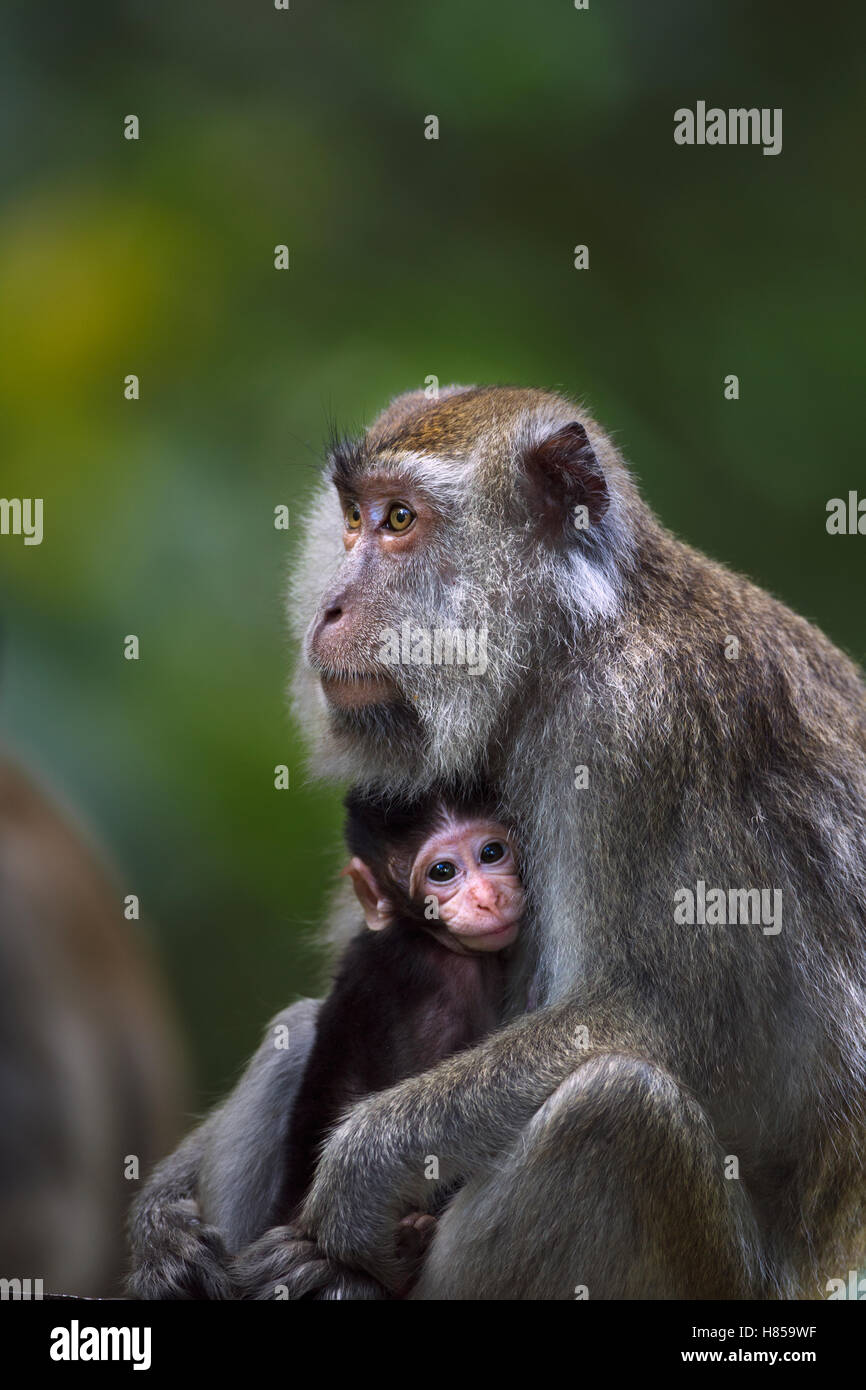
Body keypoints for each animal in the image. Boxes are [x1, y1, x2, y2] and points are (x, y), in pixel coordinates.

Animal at [129, 385, 866, 1301]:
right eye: (352, 519)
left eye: (399, 520)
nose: (329, 607)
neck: (571, 641)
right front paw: (161, 1211)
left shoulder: (633, 732)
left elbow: (651, 1018)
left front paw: (360, 1168)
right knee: (303, 1026)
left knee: (613, 1112)